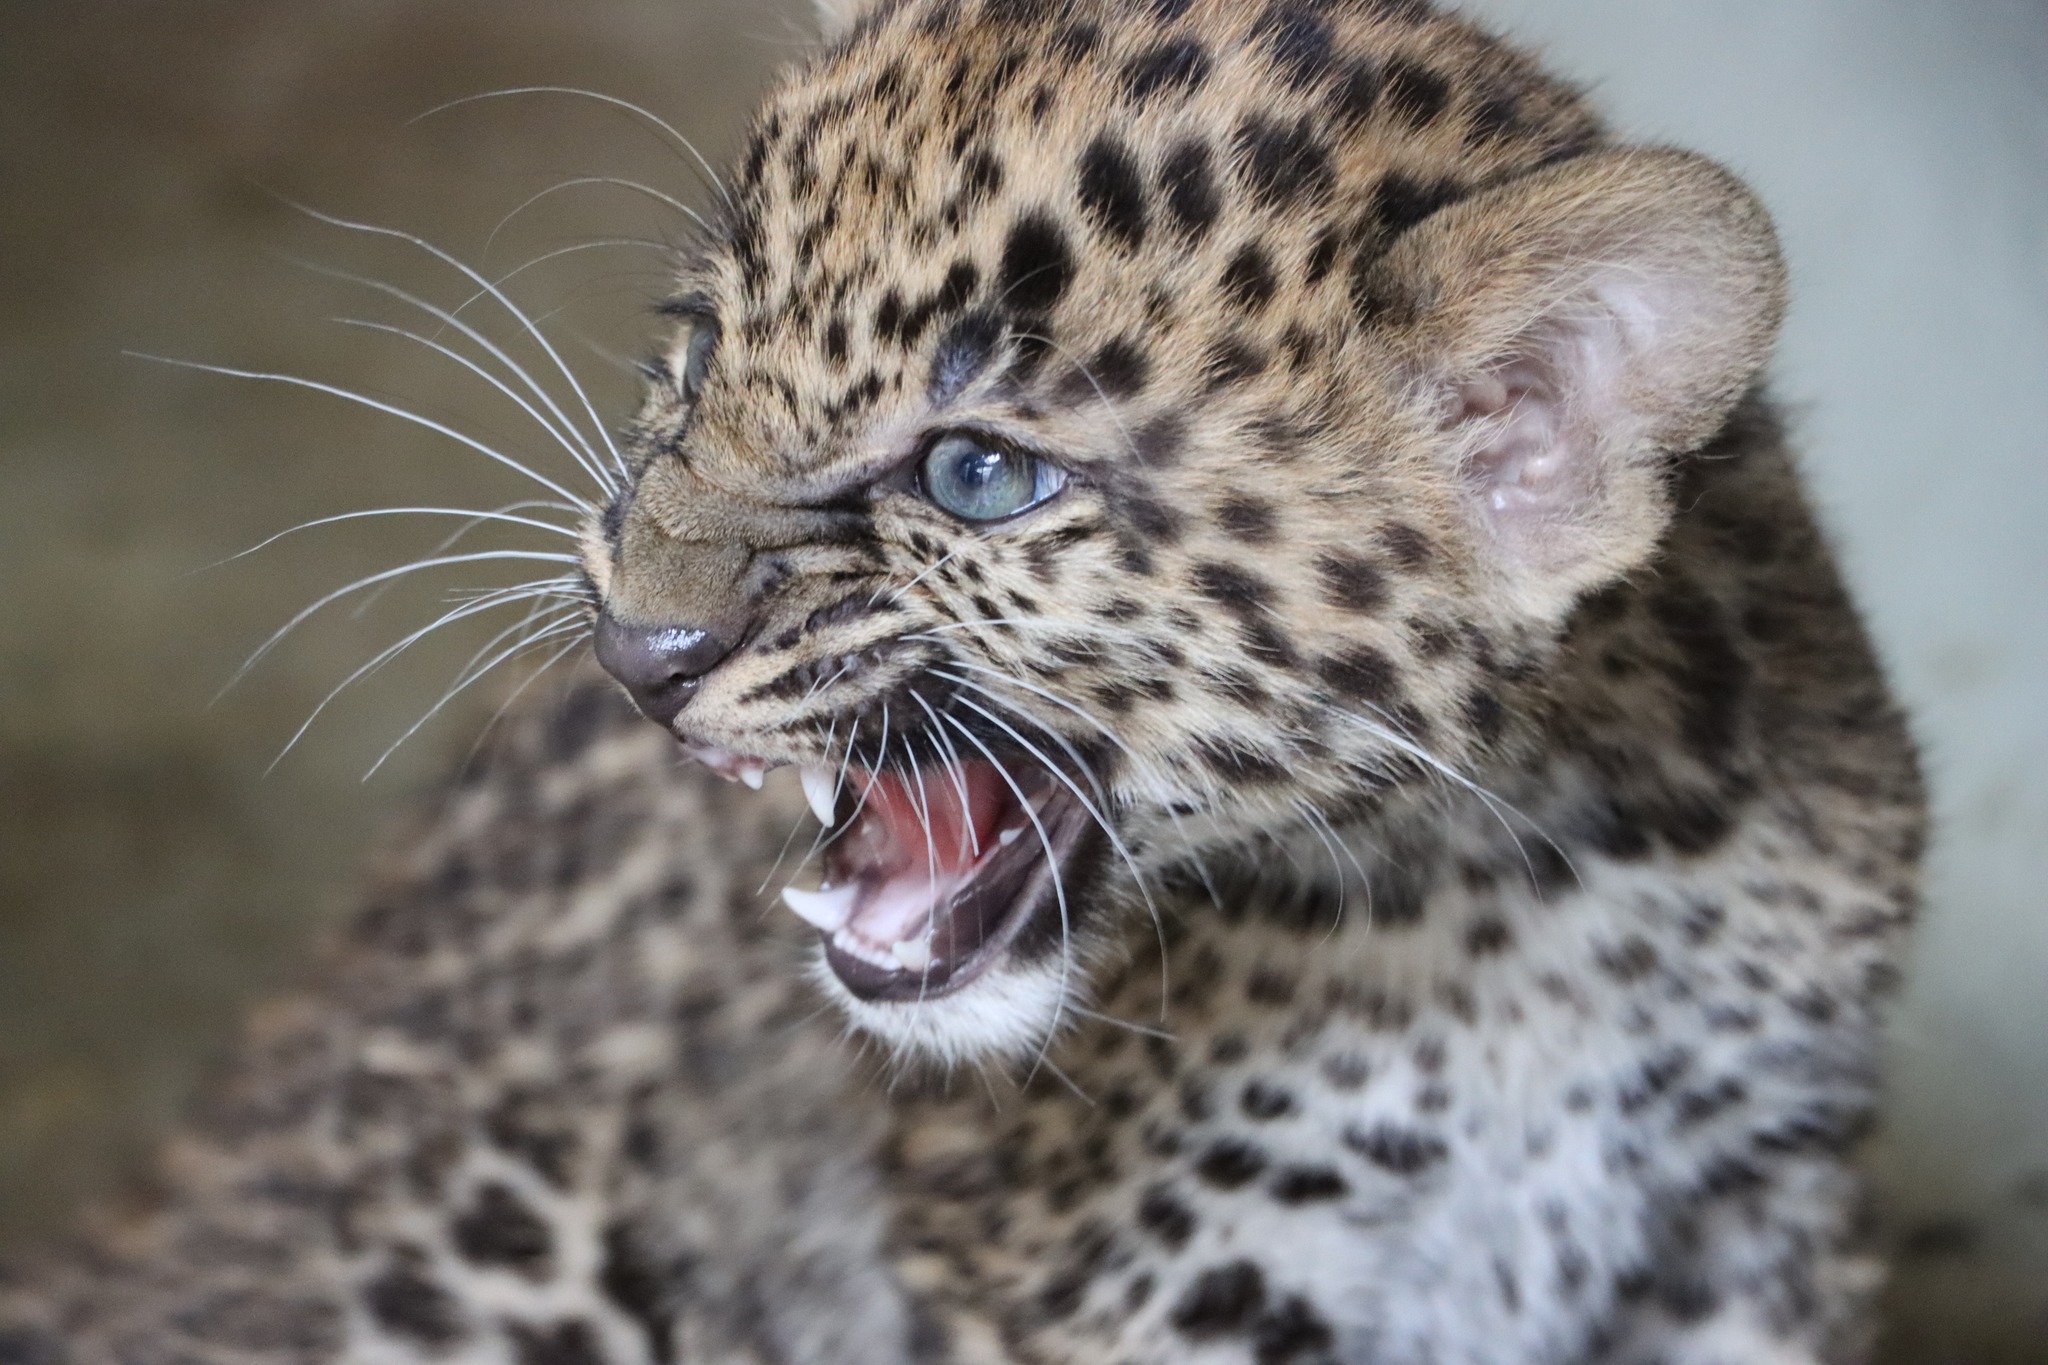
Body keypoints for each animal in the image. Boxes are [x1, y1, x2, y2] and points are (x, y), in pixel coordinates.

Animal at [0, 0, 1926, 1362]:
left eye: (978, 476)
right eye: (699, 352)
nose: (635, 651)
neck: (1508, 886)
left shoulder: (1753, 1205)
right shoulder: (1120, 1274)